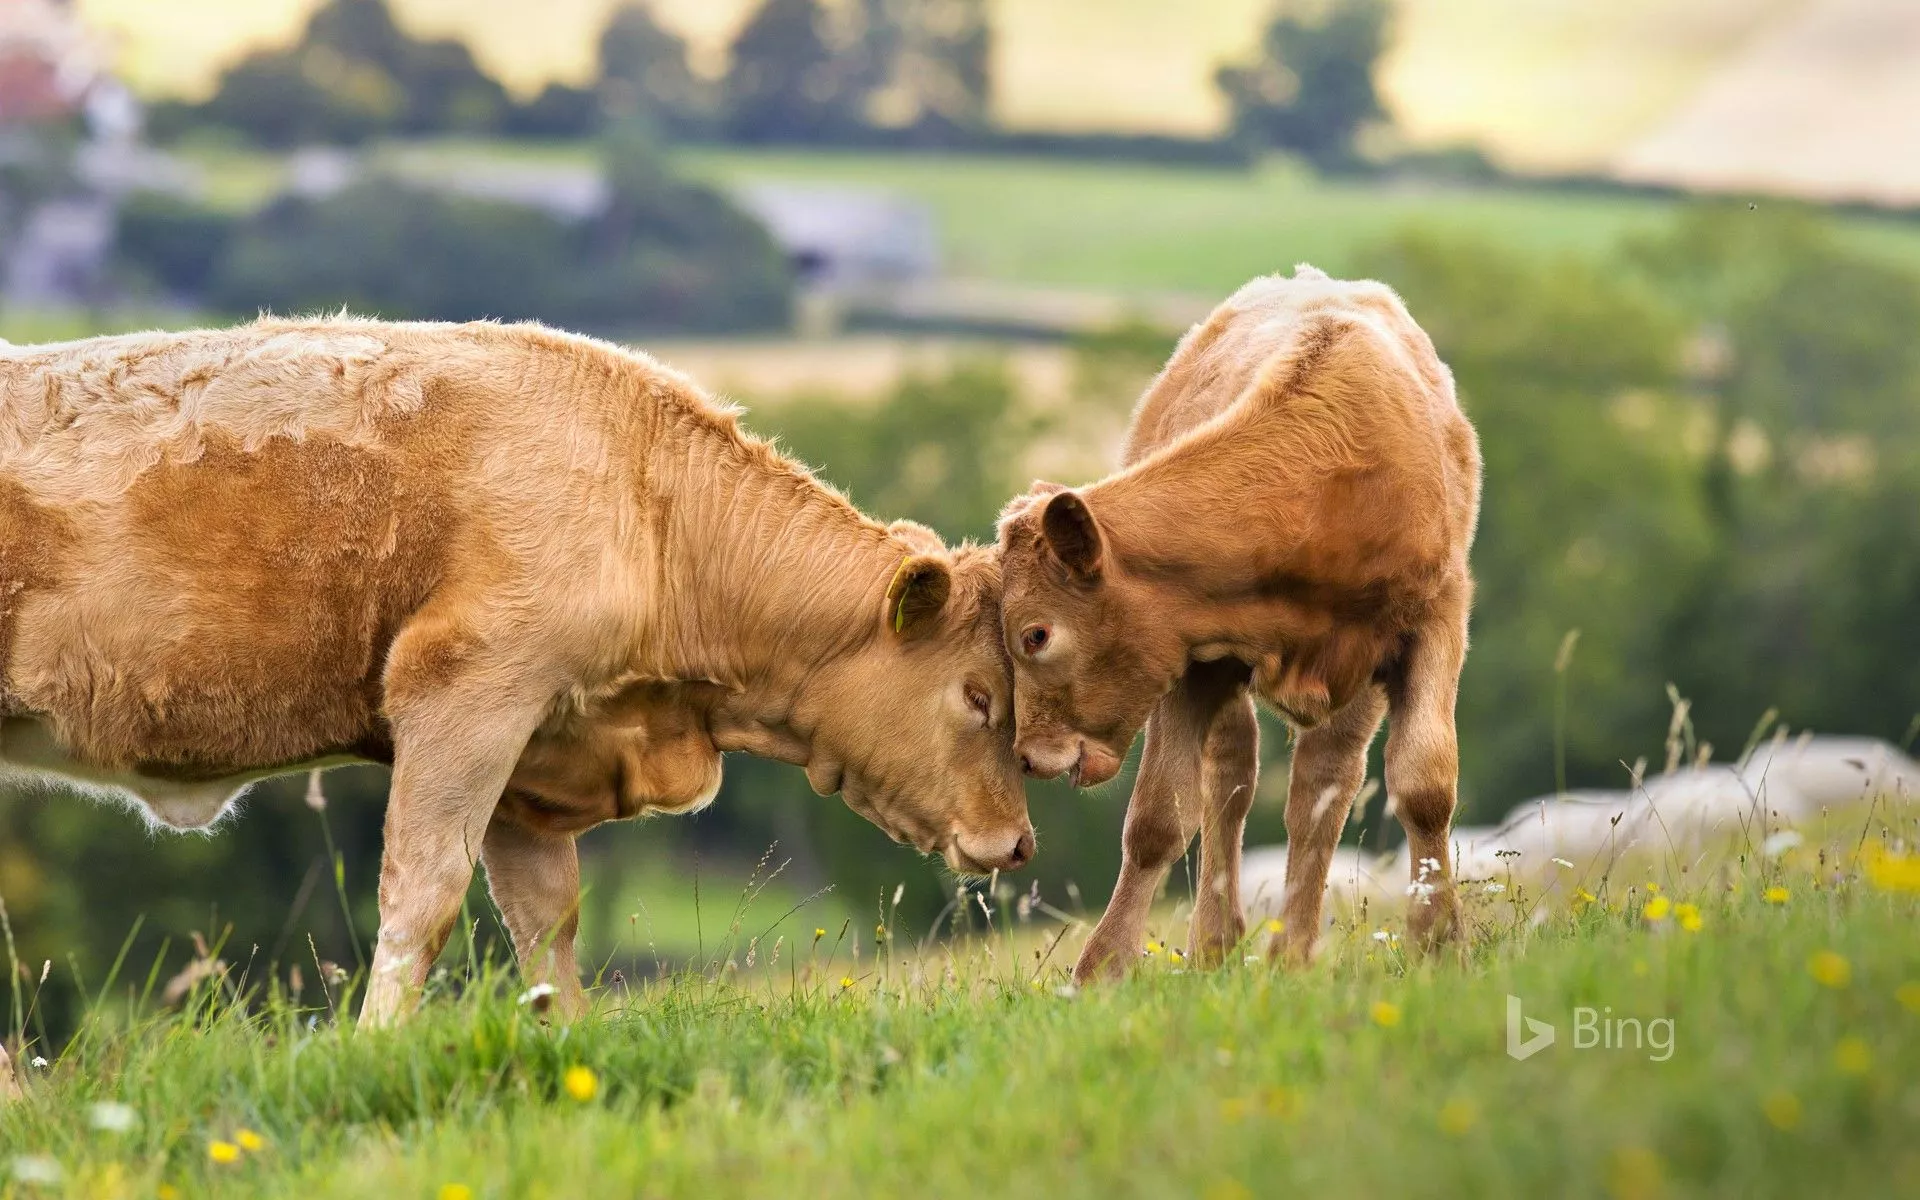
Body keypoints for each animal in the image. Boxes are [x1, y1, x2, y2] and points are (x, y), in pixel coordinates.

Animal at [0, 316, 1033, 1035]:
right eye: (977, 696)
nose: (1019, 842)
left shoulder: (536, 753)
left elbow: (548, 925)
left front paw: (571, 1049)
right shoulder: (469, 693)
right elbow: (421, 900)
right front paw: (375, 1050)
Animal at [994, 267, 1481, 982]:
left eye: (1036, 634)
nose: (1028, 756)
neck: (1322, 496)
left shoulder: (1437, 617)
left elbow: (1423, 782)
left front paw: (1440, 942)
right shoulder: (1190, 661)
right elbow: (1159, 819)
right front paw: (1102, 971)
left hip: (1355, 680)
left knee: (1321, 785)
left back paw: (1292, 953)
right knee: (1232, 779)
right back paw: (1217, 946)